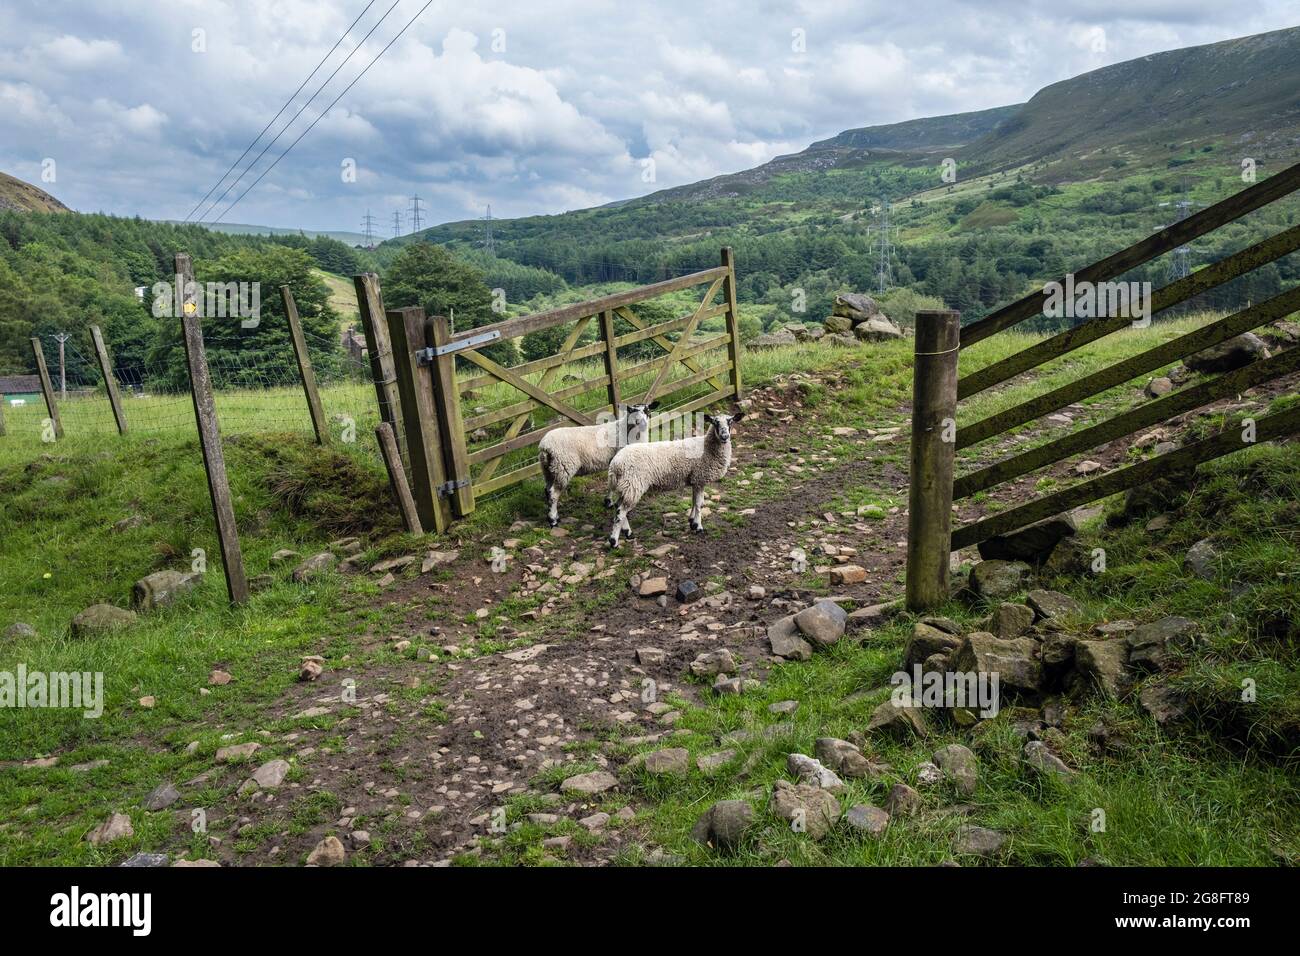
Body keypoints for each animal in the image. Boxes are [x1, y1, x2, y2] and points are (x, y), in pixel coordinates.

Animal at [606, 410, 745, 548]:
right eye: (715, 422)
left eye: (730, 422)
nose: (725, 436)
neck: (706, 448)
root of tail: (615, 464)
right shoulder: (700, 477)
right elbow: (699, 504)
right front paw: (699, 527)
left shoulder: (695, 479)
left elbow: (694, 501)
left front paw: (692, 522)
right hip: (634, 484)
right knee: (621, 511)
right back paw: (614, 541)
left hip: (626, 486)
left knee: (618, 507)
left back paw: (627, 532)